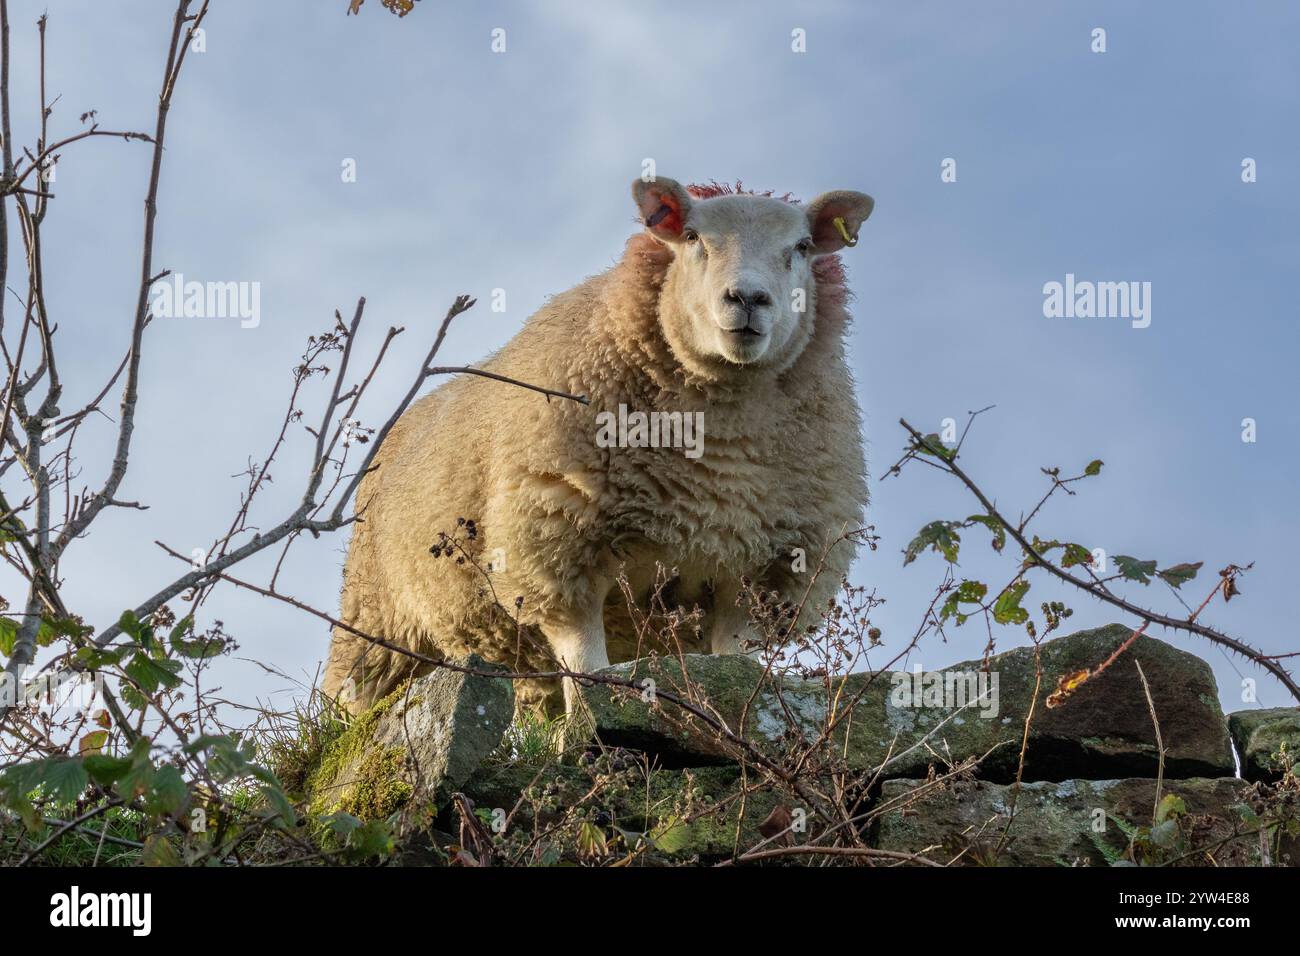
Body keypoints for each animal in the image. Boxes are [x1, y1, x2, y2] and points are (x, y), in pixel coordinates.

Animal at [322, 177, 874, 716]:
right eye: (692, 236)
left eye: (801, 246)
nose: (748, 299)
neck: (717, 457)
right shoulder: (559, 558)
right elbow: (587, 673)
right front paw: (588, 733)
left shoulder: (757, 580)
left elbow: (735, 666)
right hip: (374, 624)